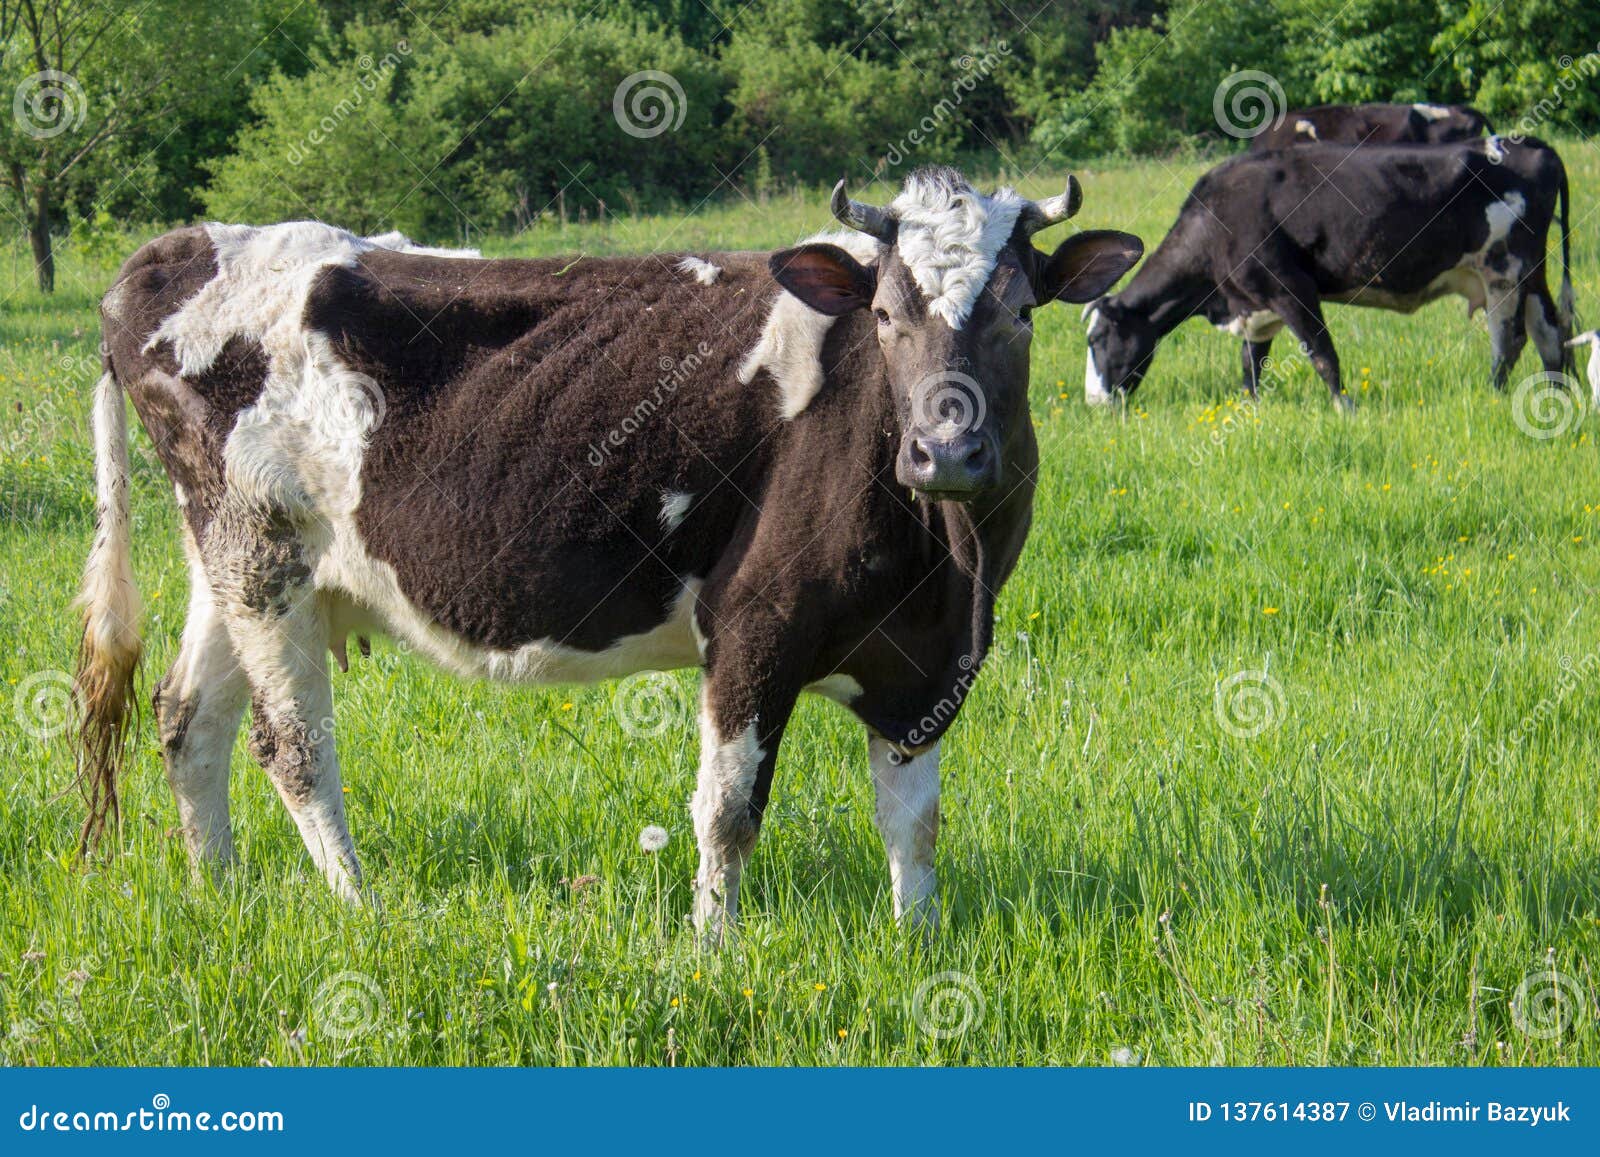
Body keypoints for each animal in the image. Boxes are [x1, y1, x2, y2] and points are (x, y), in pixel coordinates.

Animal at [73, 166, 1142, 940]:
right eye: (885, 316)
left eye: (1019, 313)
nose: (946, 451)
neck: (948, 565)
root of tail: (179, 246)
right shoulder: (753, 626)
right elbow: (727, 808)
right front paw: (715, 948)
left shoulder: (926, 659)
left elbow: (914, 821)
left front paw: (918, 944)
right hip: (261, 556)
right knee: (288, 744)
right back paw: (359, 904)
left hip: (231, 561)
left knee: (186, 718)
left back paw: (217, 889)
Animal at [1082, 137, 1573, 409]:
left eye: (1097, 339)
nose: (1093, 402)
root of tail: (1529, 143)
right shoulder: (1254, 303)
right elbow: (1251, 365)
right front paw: (1253, 409)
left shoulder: (1290, 288)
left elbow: (1322, 353)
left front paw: (1344, 408)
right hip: (1532, 275)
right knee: (1551, 331)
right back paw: (1556, 394)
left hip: (1504, 269)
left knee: (1510, 339)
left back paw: (1494, 393)